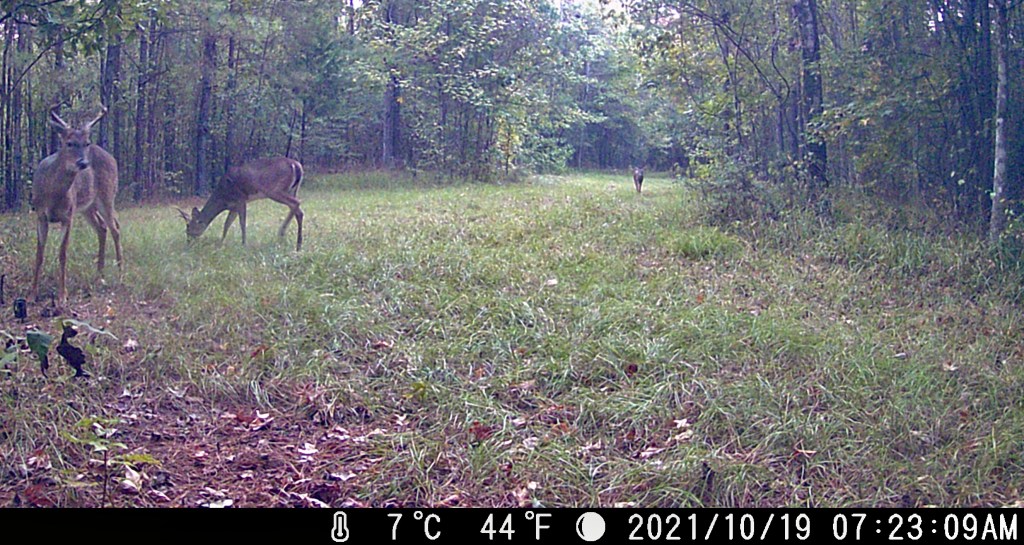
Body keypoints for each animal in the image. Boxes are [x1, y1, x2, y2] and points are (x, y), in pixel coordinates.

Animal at [31, 104, 123, 311]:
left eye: (86, 143)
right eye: (69, 143)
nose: (83, 163)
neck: (52, 195)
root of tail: (112, 157)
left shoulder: (68, 215)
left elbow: (62, 253)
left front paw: (62, 297)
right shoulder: (40, 215)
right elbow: (39, 254)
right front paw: (32, 294)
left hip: (107, 196)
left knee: (115, 227)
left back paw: (120, 269)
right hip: (87, 207)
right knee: (102, 227)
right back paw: (99, 273)